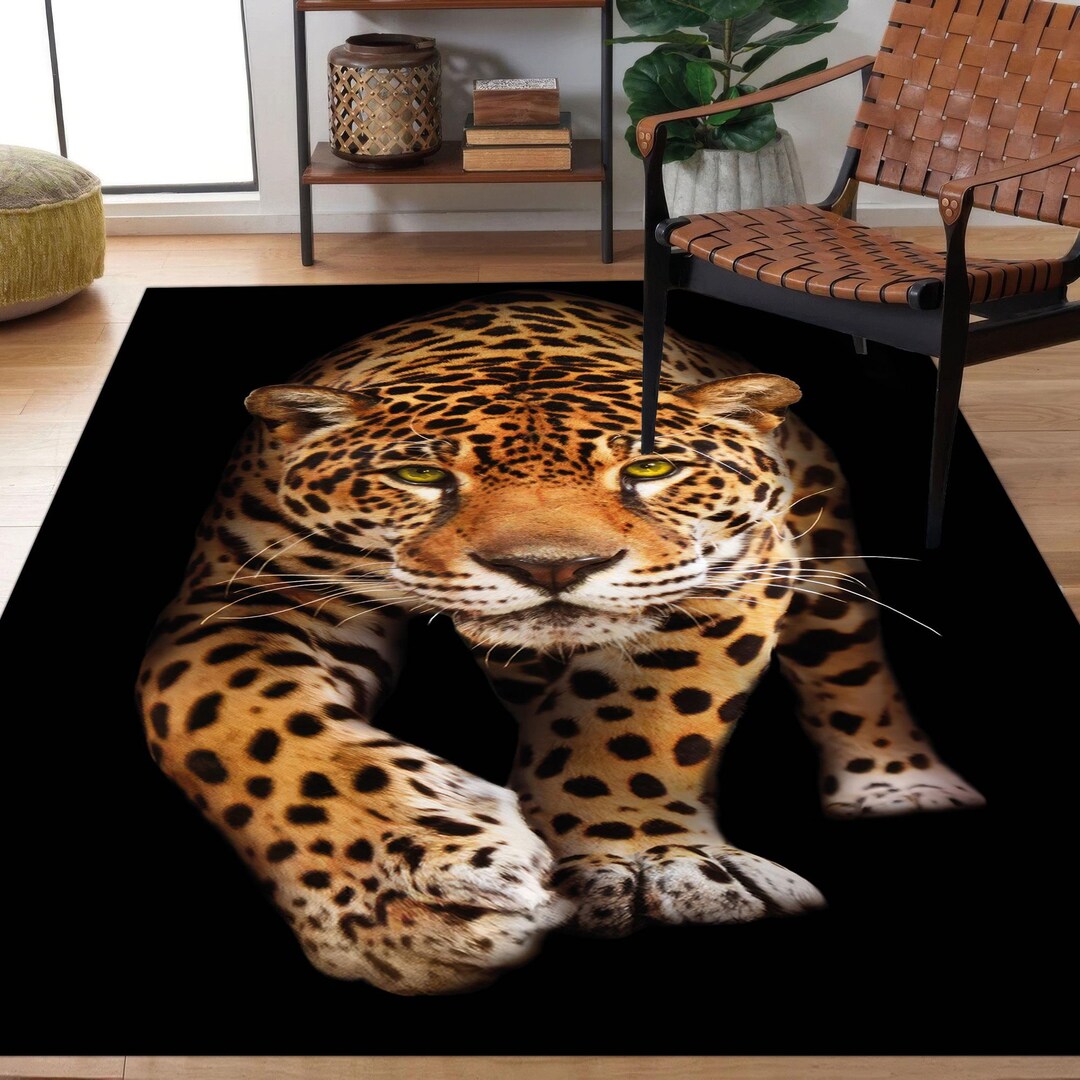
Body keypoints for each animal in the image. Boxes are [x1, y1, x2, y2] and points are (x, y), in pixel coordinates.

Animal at [135, 289, 985, 996]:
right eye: (418, 475)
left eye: (652, 467)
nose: (552, 566)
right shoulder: (247, 597)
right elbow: (245, 727)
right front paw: (407, 898)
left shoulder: (739, 566)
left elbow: (640, 715)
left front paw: (644, 863)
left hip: (829, 550)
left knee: (849, 661)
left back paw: (896, 784)